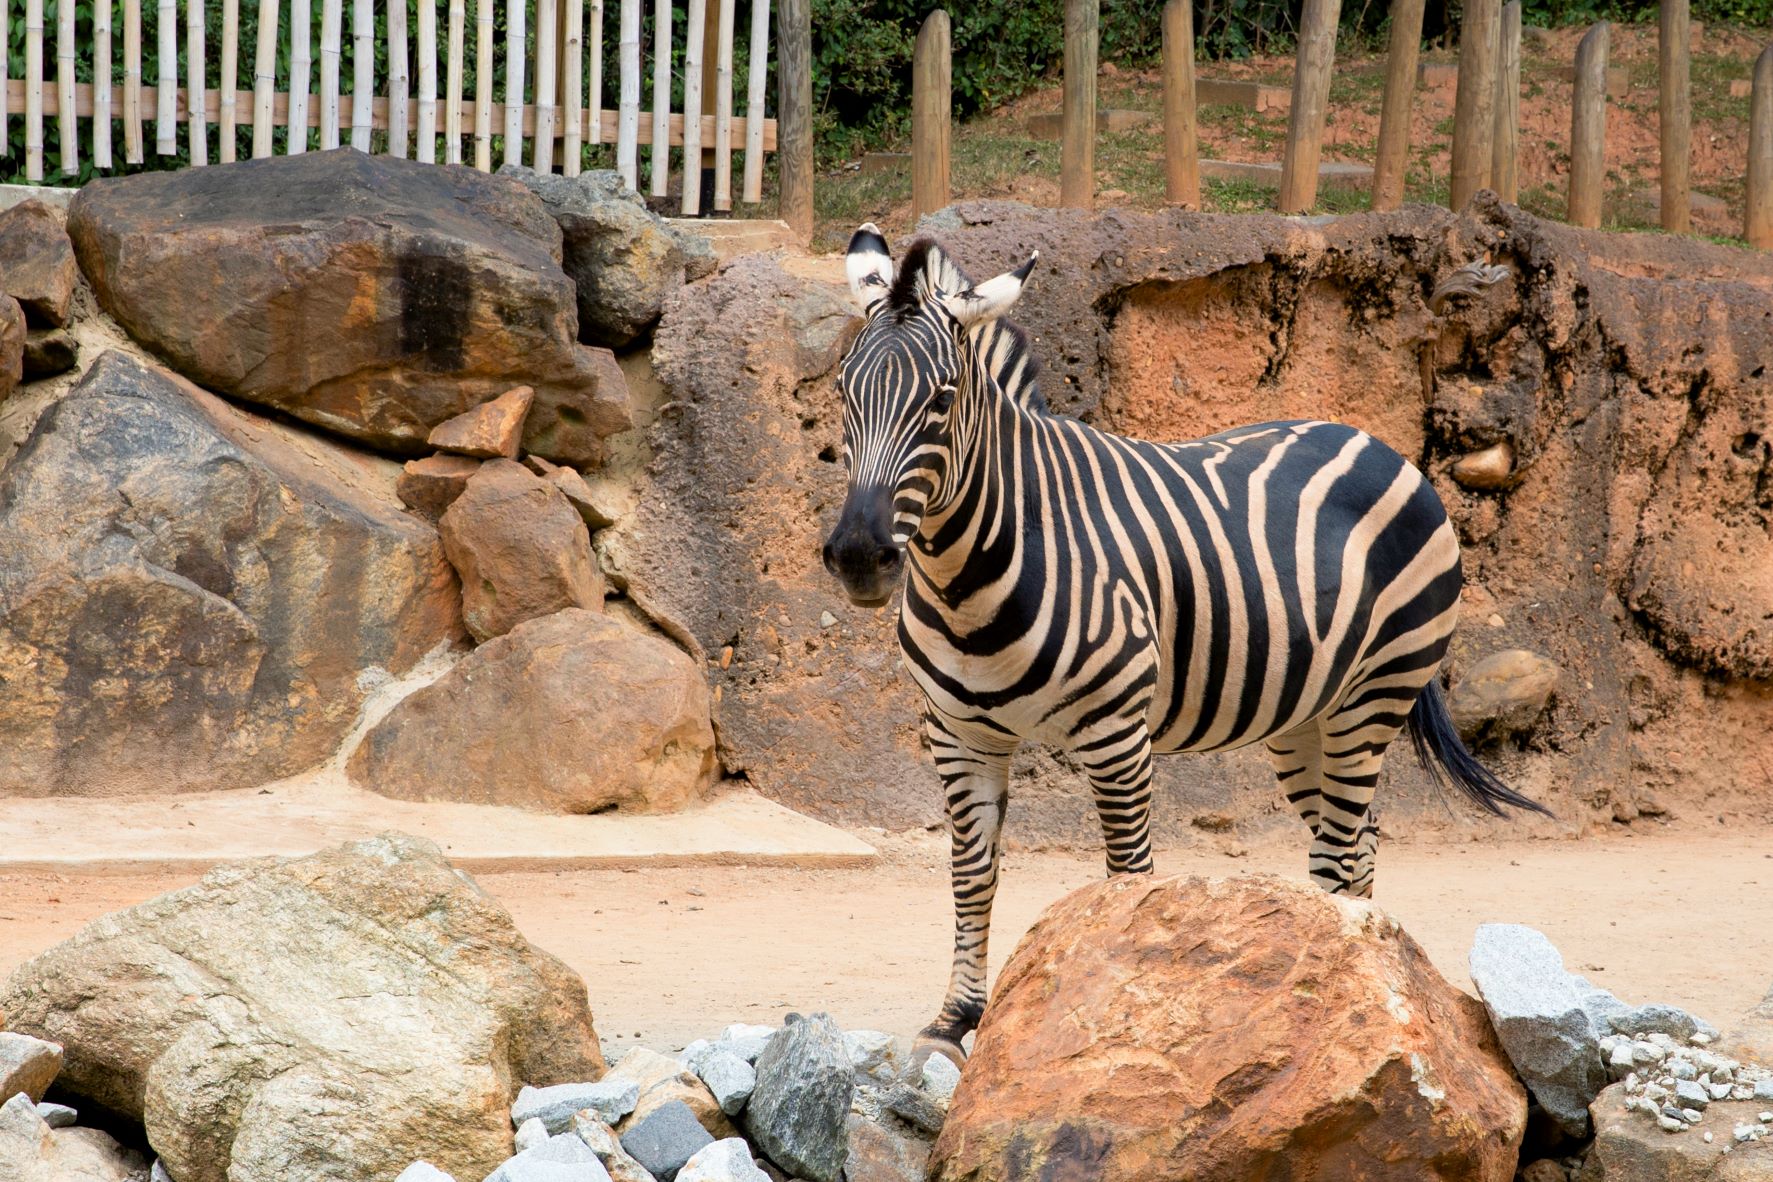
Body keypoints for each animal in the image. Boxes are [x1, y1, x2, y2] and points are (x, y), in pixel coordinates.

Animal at [819, 224, 1551, 1069]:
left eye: (940, 400)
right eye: (844, 394)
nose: (858, 555)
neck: (971, 575)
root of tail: (1377, 443)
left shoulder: (1114, 733)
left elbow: (1126, 878)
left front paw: (1108, 1013)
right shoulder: (958, 734)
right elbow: (972, 876)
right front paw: (954, 1022)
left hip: (1374, 697)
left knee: (1341, 850)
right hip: (1305, 717)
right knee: (1350, 848)